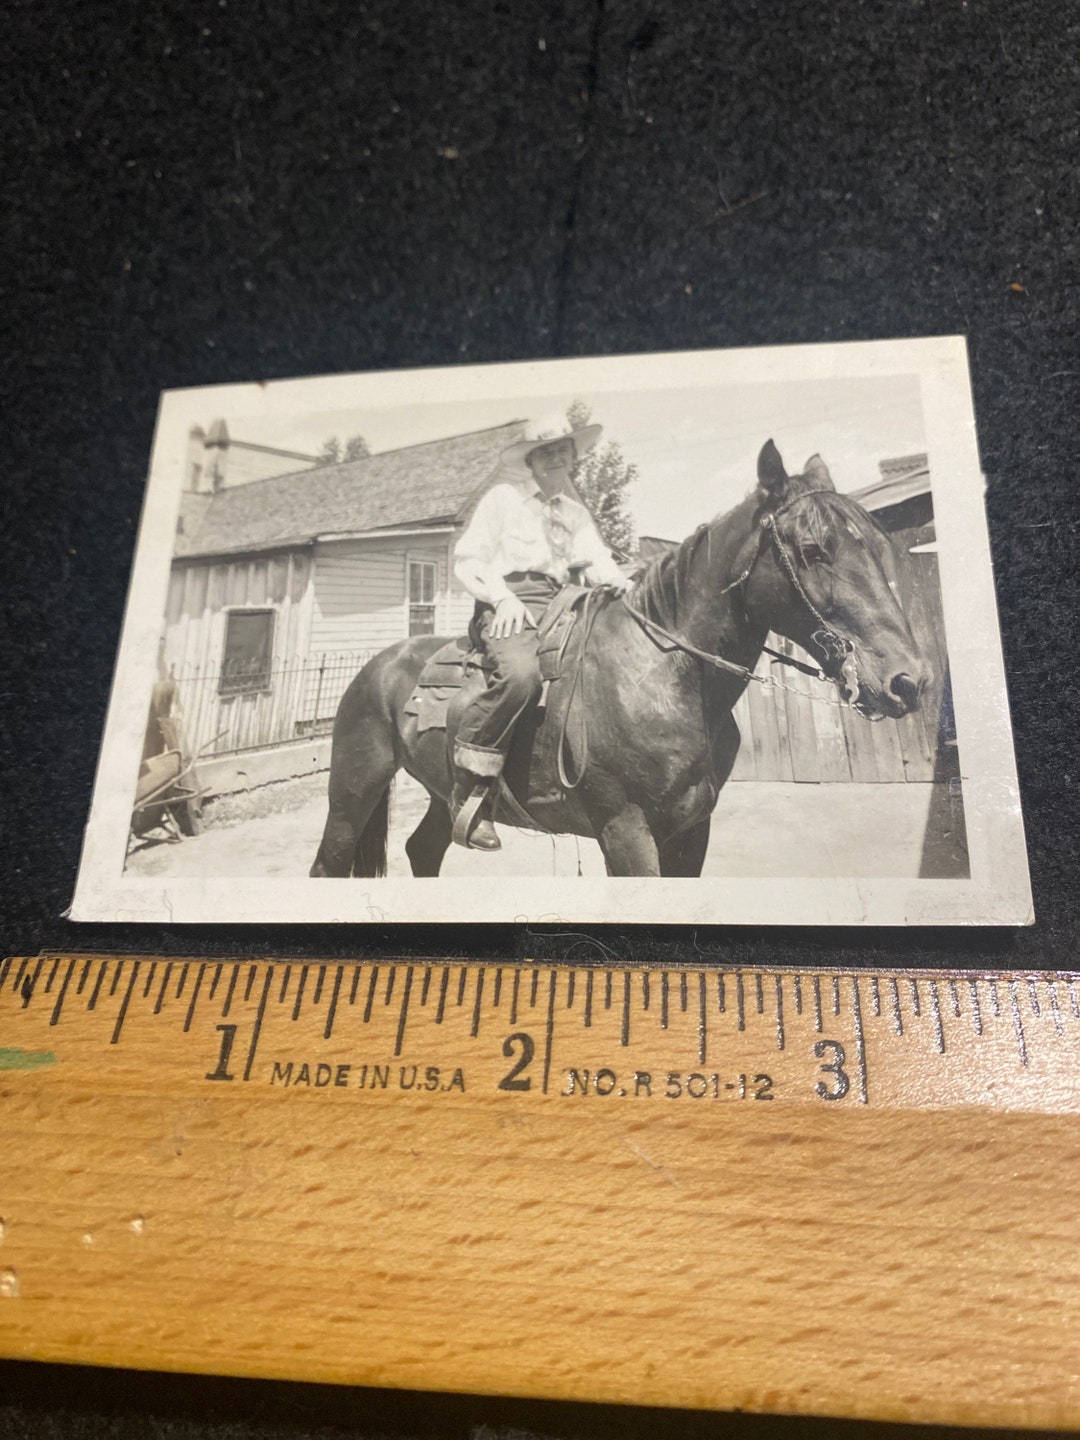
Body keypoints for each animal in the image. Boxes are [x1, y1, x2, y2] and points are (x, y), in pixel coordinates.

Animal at [311, 439, 930, 879]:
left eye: (876, 545)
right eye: (812, 550)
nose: (909, 681)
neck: (663, 677)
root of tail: (379, 664)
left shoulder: (691, 831)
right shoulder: (626, 831)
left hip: (441, 795)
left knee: (422, 851)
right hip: (353, 789)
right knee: (328, 865)